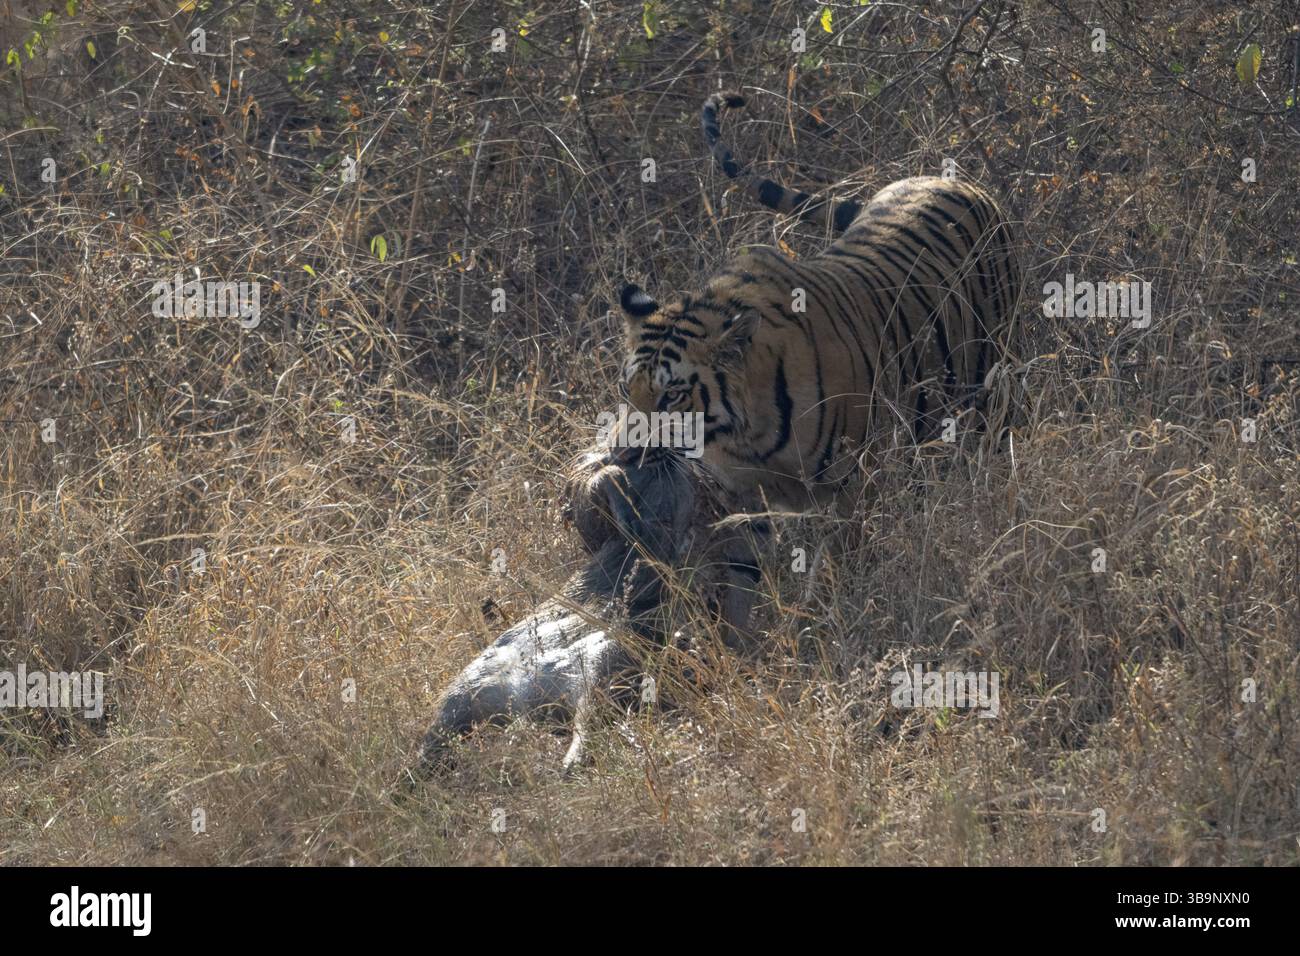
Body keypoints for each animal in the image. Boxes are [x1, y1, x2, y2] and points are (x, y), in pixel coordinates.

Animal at [618, 91, 1022, 513]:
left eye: (672, 395)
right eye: (625, 389)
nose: (622, 456)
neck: (744, 438)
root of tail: (944, 179)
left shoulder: (857, 483)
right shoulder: (740, 495)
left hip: (997, 377)